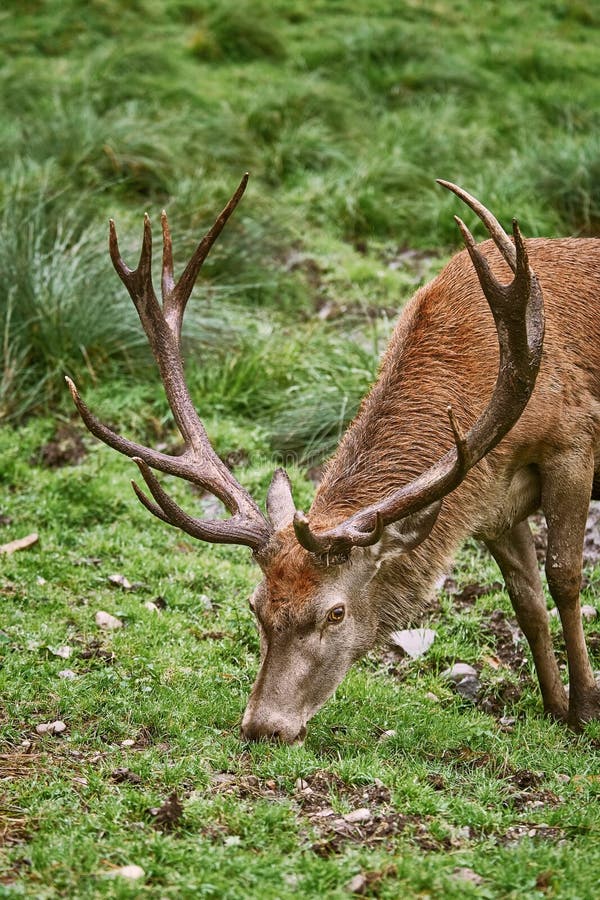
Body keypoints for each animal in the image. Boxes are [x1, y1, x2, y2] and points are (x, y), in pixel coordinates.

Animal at [68, 172, 600, 740]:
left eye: (335, 613)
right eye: (256, 605)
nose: (263, 726)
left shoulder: (573, 443)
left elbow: (565, 576)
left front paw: (585, 710)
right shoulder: (492, 500)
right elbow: (526, 600)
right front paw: (554, 706)